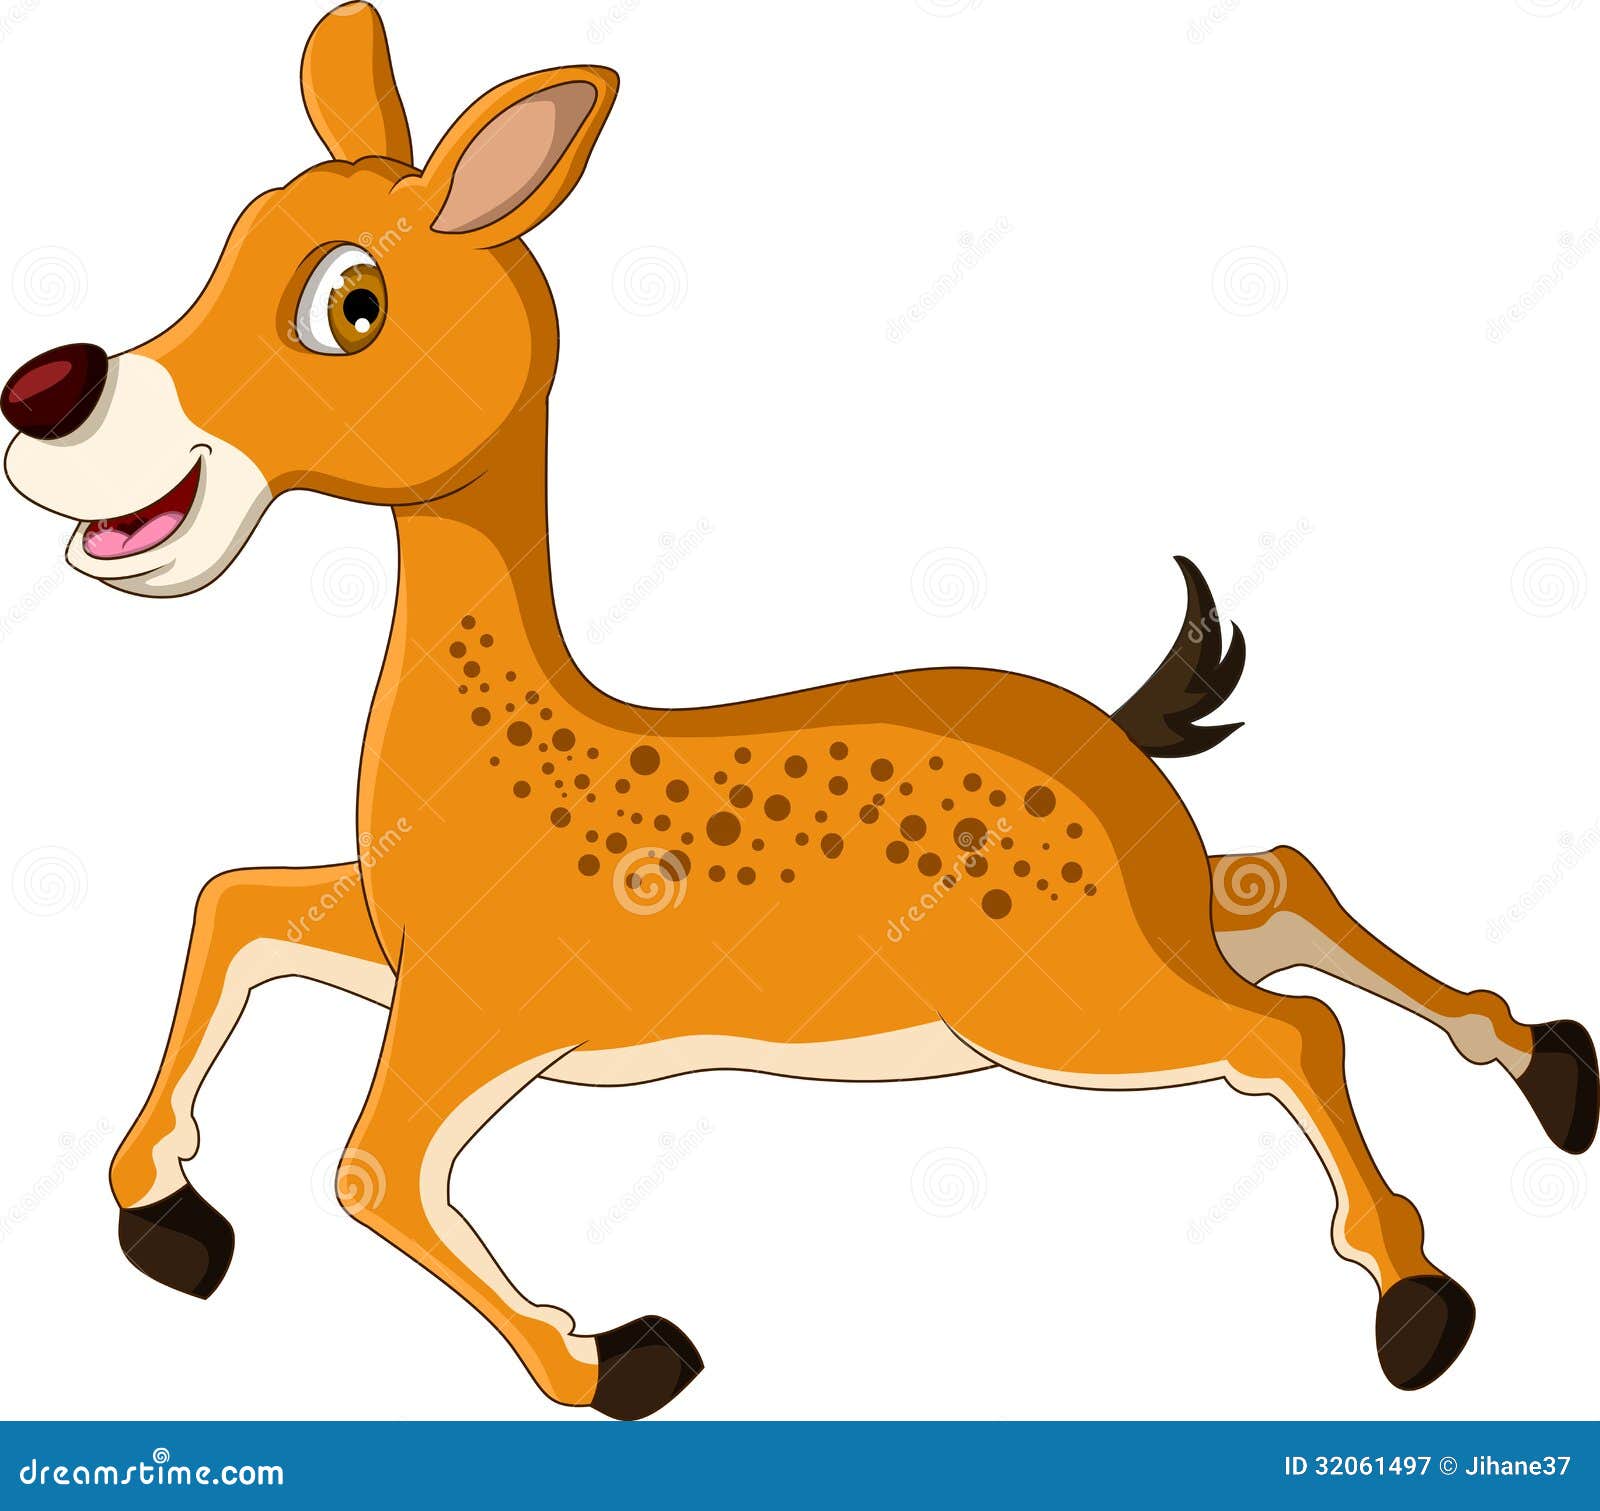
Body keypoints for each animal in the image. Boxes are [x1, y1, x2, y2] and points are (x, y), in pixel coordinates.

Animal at [3, 4, 1594, 1420]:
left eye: (350, 301)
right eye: (228, 237)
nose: (48, 391)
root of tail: (1108, 741)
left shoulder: (483, 1010)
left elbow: (368, 1165)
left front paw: (619, 1355)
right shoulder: (408, 957)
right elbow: (233, 906)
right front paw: (164, 1216)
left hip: (1065, 1007)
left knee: (1284, 1032)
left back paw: (1420, 1302)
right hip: (1140, 926)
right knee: (1279, 885)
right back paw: (1549, 1068)